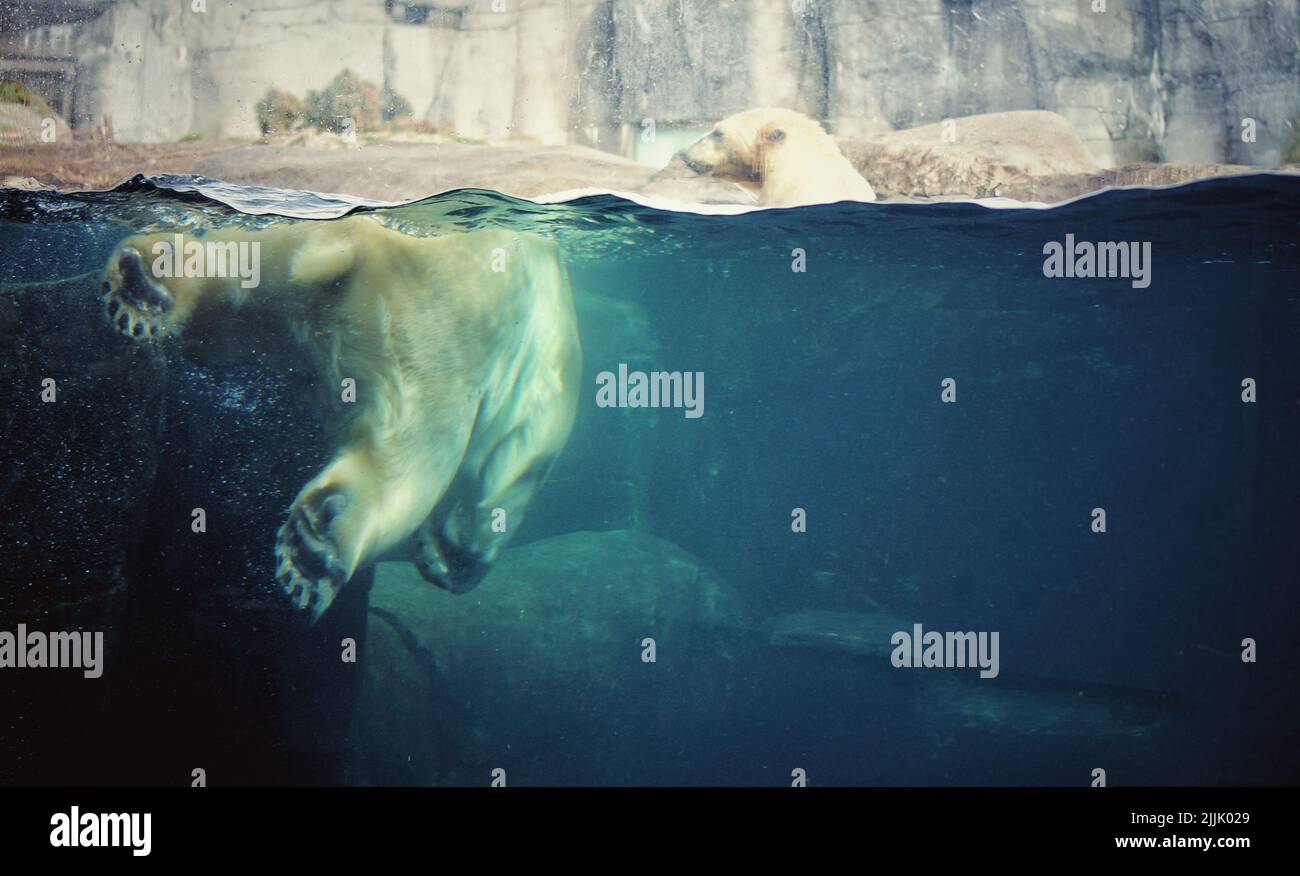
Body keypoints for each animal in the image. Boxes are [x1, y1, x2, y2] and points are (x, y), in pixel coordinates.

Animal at [100, 215, 582, 621]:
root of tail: (365, 242)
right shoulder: (533, 421)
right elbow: (491, 500)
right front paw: (446, 559)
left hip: (283, 280)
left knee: (232, 286)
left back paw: (142, 282)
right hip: (438, 338)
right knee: (412, 453)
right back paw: (316, 551)